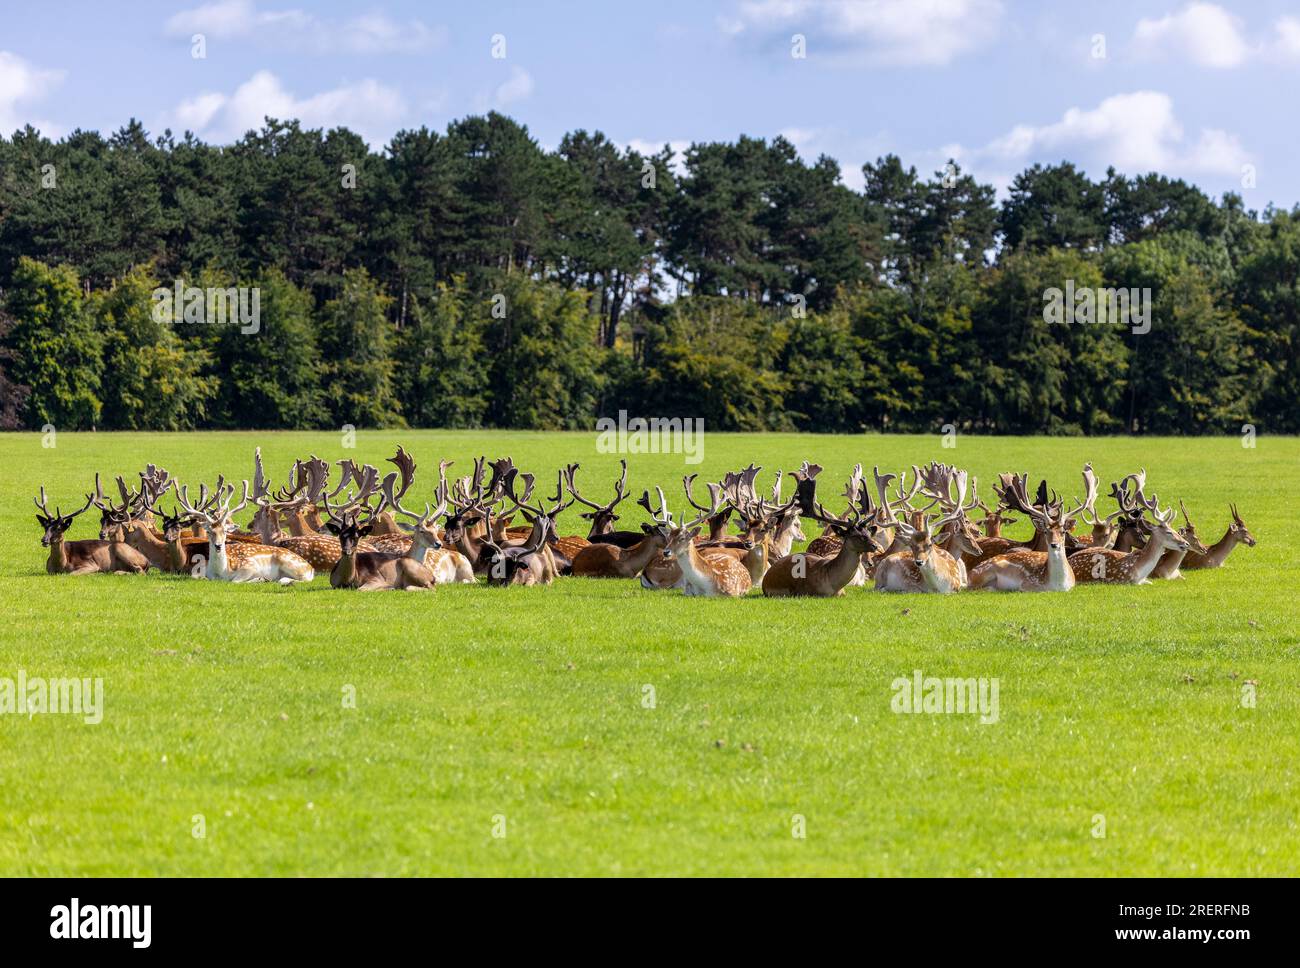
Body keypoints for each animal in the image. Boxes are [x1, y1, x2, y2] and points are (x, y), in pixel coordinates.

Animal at [176, 480, 315, 584]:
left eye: (225, 531)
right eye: (209, 531)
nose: (218, 545)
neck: (221, 573)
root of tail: (311, 568)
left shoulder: (249, 566)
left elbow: (234, 581)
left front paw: (260, 578)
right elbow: (197, 576)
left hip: (291, 565)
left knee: (300, 579)